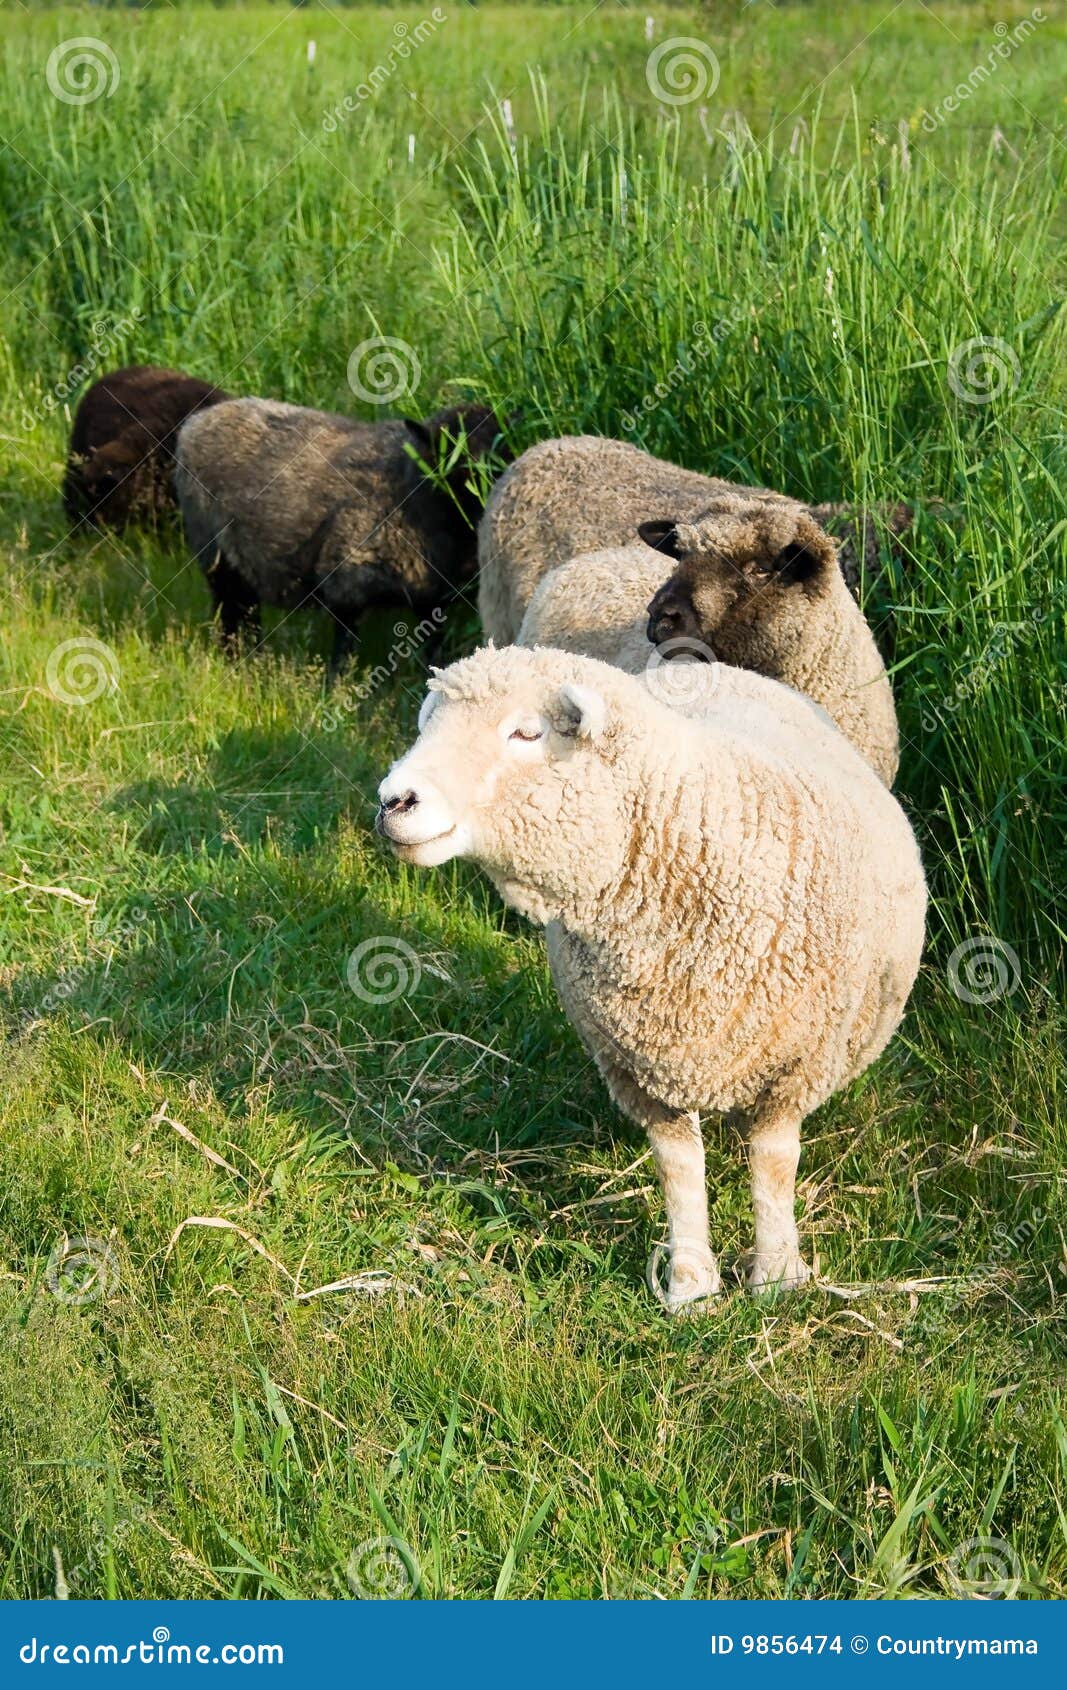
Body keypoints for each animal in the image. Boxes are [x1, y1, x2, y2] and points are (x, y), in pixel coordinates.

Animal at [175, 398, 507, 674]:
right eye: (453, 455)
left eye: (502, 448)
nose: (494, 493)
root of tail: (197, 422)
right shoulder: (345, 585)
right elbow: (343, 653)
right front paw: (333, 694)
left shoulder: (431, 596)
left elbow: (434, 649)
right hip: (215, 556)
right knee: (229, 613)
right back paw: (239, 664)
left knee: (246, 611)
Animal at [376, 645, 926, 1311]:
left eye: (527, 733)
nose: (393, 800)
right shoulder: (637, 1066)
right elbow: (679, 1169)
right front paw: (691, 1286)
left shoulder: (796, 1065)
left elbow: (773, 1165)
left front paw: (775, 1278)